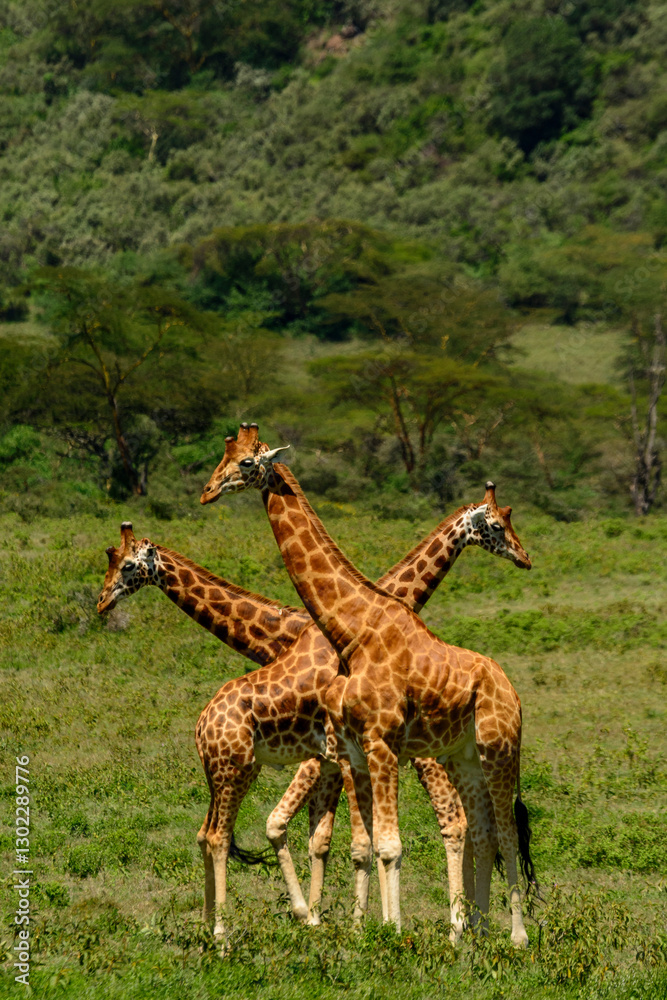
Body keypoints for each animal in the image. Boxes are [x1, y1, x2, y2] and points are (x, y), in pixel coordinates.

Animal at [98, 495, 529, 940]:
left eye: (125, 566)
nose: (102, 602)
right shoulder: (329, 756)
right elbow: (316, 835)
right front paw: (331, 917)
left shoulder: (327, 754)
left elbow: (327, 836)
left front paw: (341, 919)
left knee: (459, 823)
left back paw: (462, 925)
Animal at [200, 424, 536, 945]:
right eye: (225, 457)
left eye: (247, 463)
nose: (208, 491)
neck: (353, 630)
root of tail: (510, 688)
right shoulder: (354, 749)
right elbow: (370, 843)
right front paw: (371, 929)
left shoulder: (380, 742)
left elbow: (390, 845)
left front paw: (391, 933)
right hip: (462, 755)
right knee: (480, 830)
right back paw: (474, 932)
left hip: (499, 748)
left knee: (503, 832)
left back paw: (515, 937)